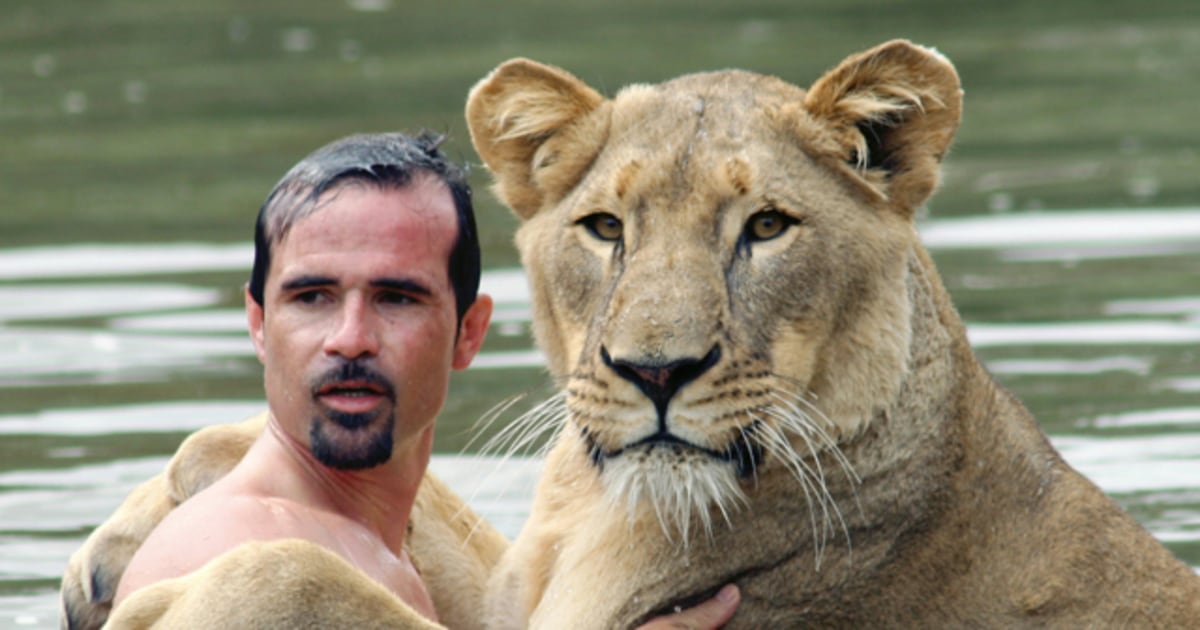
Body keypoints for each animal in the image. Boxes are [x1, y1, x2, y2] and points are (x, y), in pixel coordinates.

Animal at [61, 40, 1200, 629]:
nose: (657, 371)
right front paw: (109, 560)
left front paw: (162, 599)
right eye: (607, 228)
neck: (605, 512)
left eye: (767, 228)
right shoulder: (518, 594)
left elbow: (305, 575)